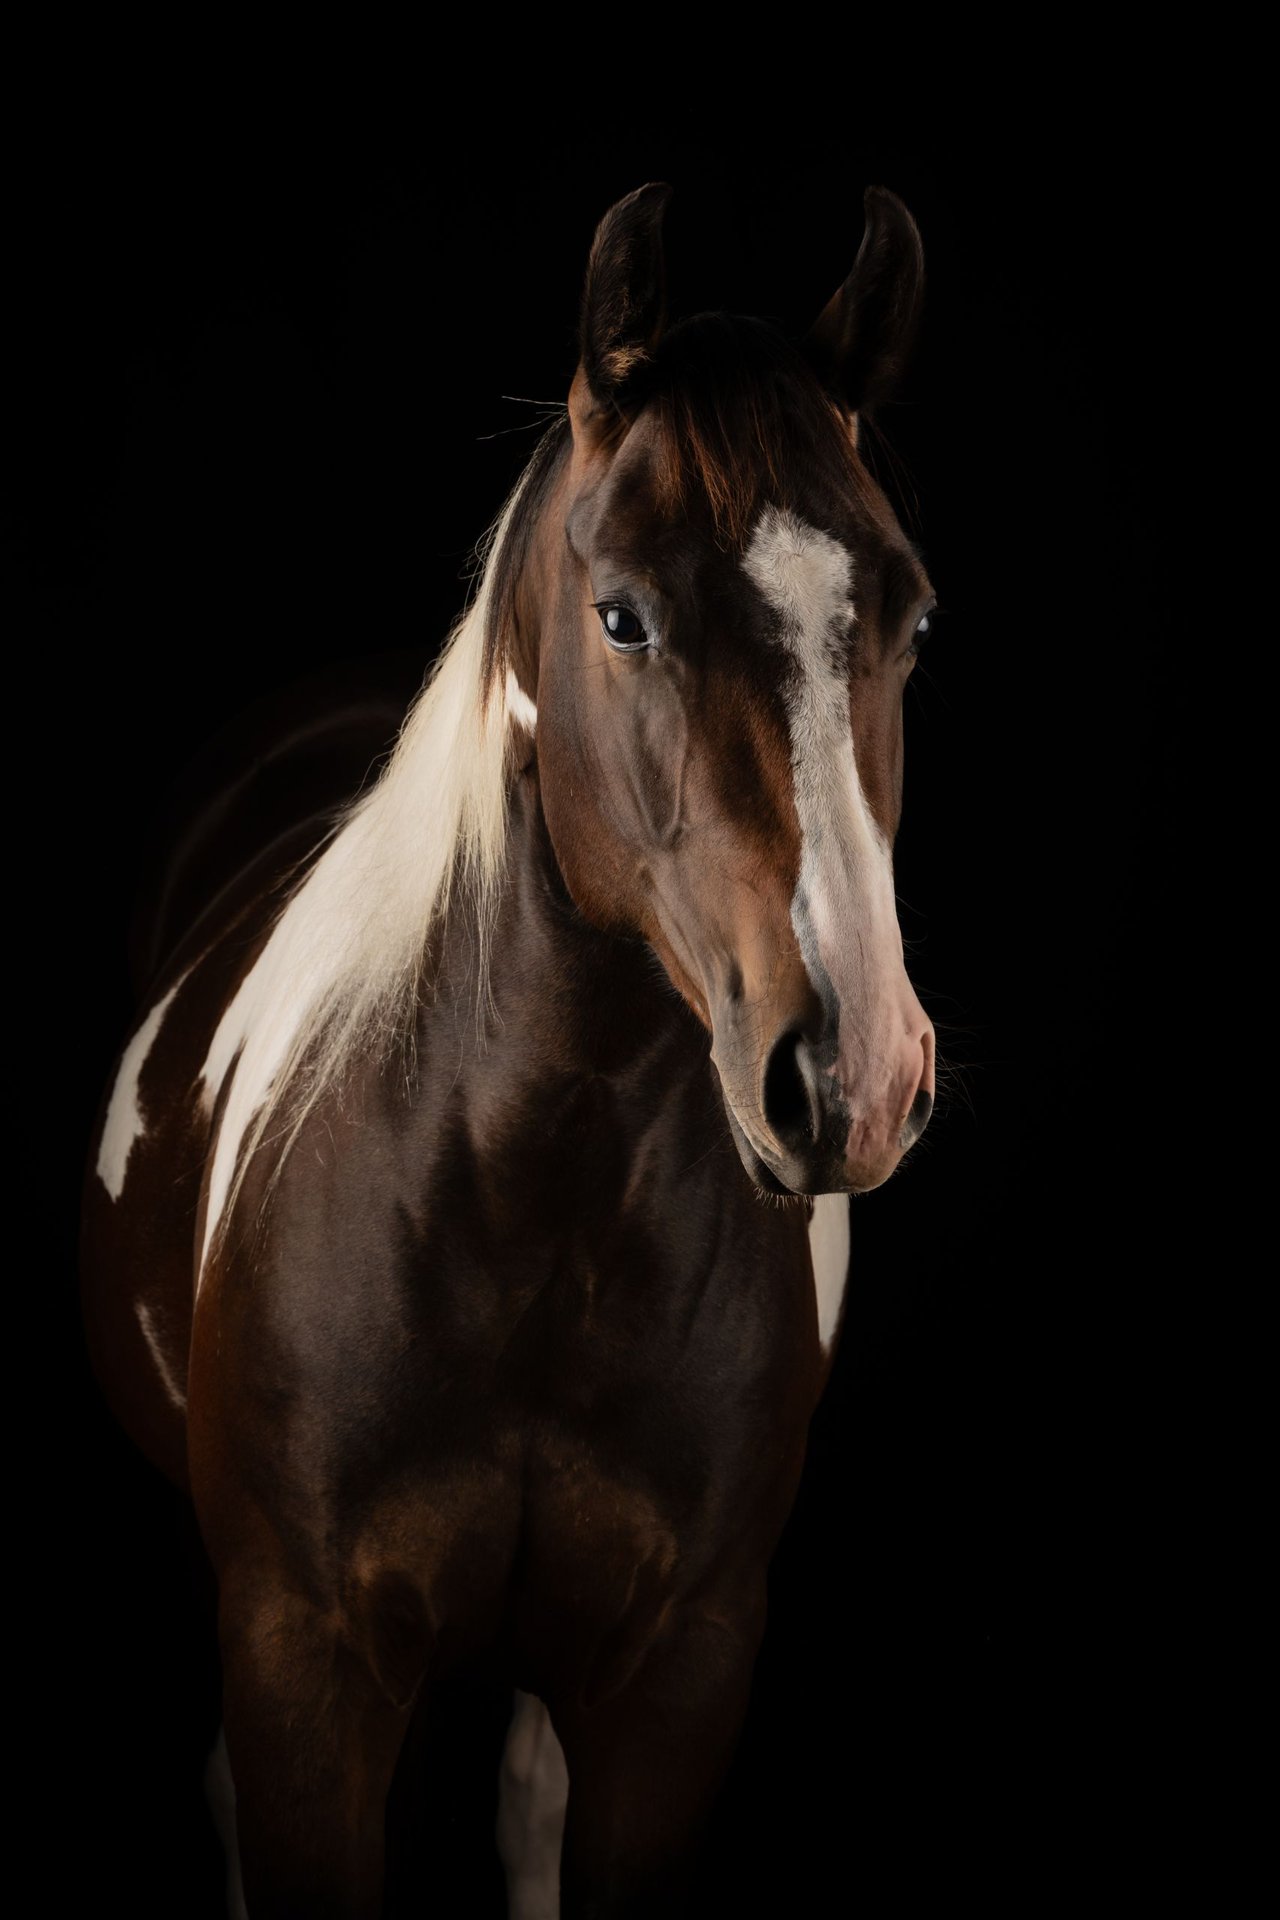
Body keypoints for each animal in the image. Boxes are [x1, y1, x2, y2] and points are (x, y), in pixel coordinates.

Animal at [81, 181, 939, 1918]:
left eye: (910, 616)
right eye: (623, 616)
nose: (857, 1074)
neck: (540, 1190)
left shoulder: (675, 1680)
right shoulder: (306, 1663)